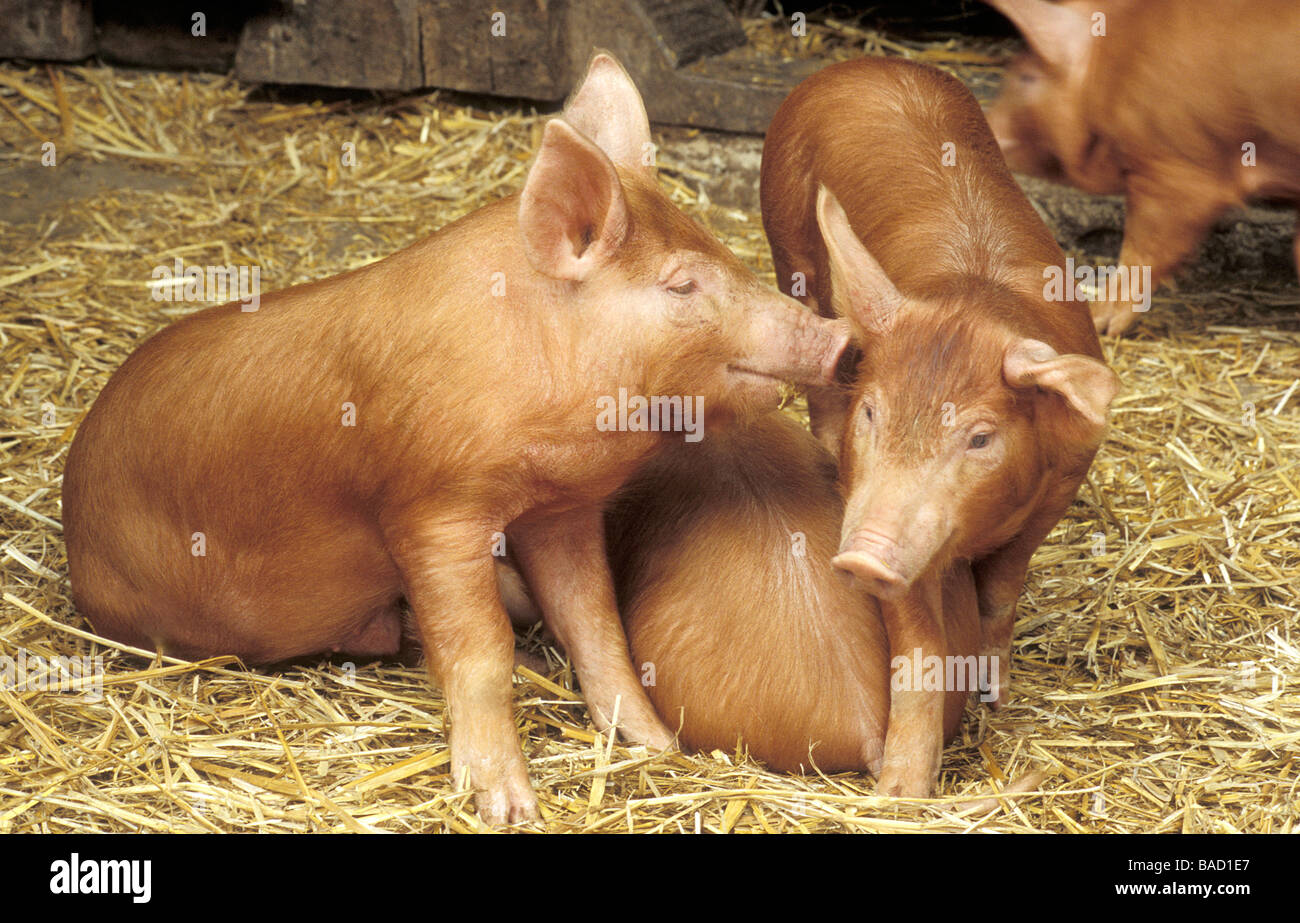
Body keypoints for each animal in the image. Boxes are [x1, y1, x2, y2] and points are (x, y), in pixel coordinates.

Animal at [61, 53, 849, 826]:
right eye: (682, 285)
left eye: (721, 249)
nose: (841, 336)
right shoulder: (431, 509)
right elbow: (482, 651)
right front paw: (509, 809)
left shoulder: (560, 510)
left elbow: (596, 623)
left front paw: (659, 745)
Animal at [760, 56, 1118, 796]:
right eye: (874, 412)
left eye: (980, 437)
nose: (861, 554)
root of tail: (865, 62)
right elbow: (919, 644)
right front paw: (899, 795)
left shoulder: (1062, 482)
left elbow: (1002, 593)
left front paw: (994, 698)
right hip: (791, 242)